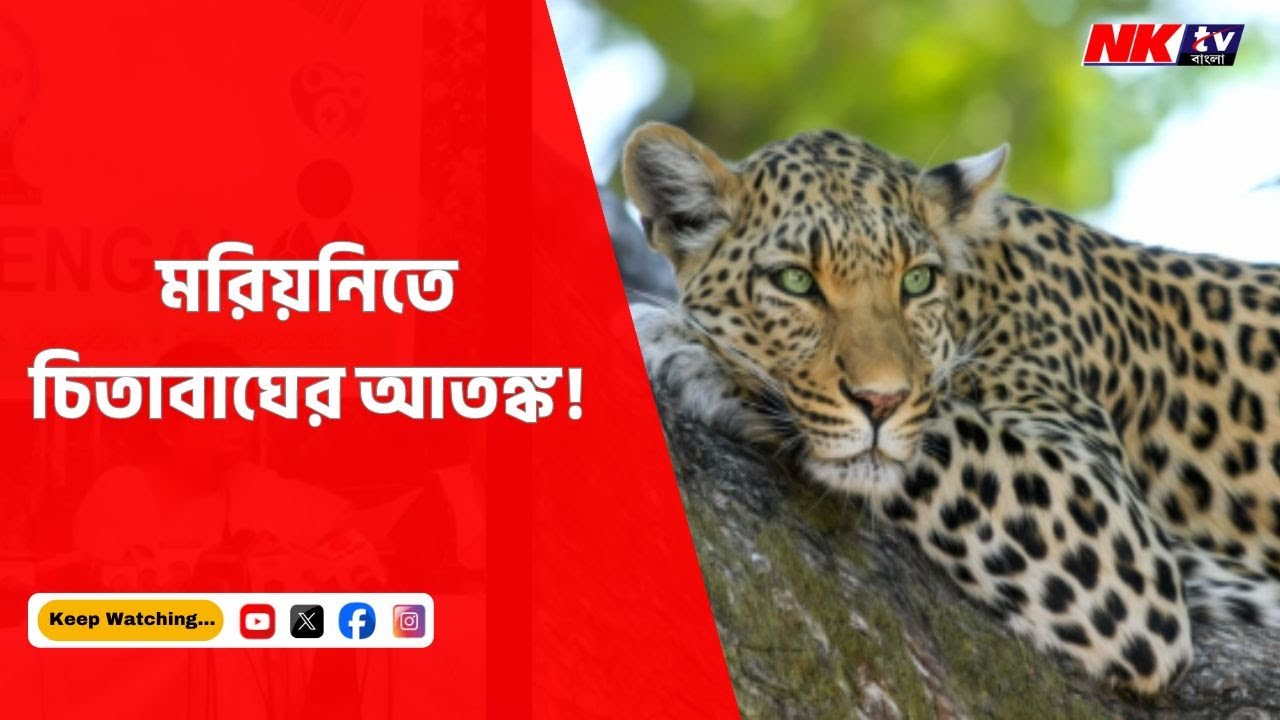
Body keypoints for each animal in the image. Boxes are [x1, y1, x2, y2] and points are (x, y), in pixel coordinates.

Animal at [622, 122, 1280, 695]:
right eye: (795, 282)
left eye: (916, 282)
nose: (880, 401)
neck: (979, 292)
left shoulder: (1117, 537)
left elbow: (939, 426)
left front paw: (686, 349)